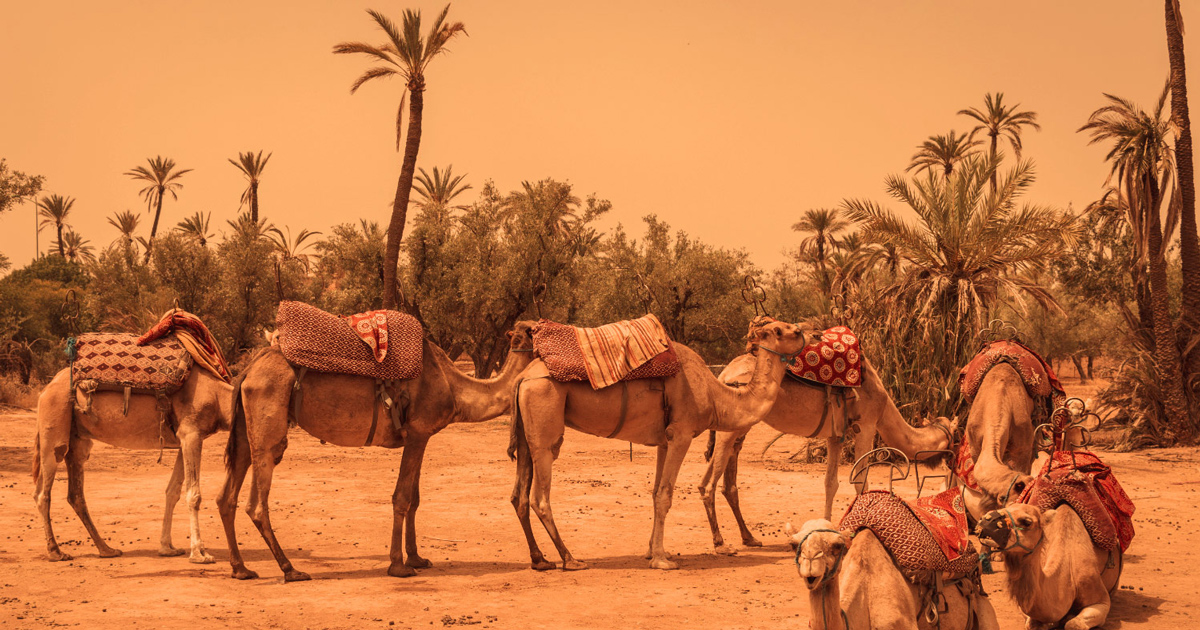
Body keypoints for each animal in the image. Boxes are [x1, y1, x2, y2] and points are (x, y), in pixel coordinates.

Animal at [33, 367, 233, 563]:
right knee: (43, 493)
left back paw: (107, 550)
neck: (217, 396)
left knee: (74, 494)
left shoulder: (184, 440)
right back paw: (56, 552)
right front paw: (200, 553)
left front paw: (167, 548)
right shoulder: (191, 433)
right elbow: (194, 495)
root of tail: (46, 389)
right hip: (54, 426)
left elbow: (172, 491)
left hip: (78, 440)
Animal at [217, 321, 537, 581]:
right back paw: (290, 569)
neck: (455, 387)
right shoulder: (419, 432)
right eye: (537, 329)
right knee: (256, 504)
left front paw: (417, 558)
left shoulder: (419, 437)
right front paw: (399, 566)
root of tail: (247, 371)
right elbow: (402, 497)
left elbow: (415, 499)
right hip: (267, 426)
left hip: (245, 430)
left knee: (225, 497)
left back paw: (241, 569)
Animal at [508, 318, 808, 571]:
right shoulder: (681, 433)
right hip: (545, 419)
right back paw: (570, 559)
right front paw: (663, 560)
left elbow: (654, 493)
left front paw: (652, 551)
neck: (714, 396)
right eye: (780, 330)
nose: (805, 331)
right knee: (540, 496)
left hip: (525, 431)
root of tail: (522, 378)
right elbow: (665, 495)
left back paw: (540, 560)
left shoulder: (664, 440)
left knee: (518, 495)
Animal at [699, 356, 954, 554]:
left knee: (718, 481)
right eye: (954, 436)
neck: (885, 408)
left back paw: (749, 538)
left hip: (739, 426)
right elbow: (861, 481)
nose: (952, 460)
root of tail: (723, 375)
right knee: (711, 484)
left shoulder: (834, 436)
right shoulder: (867, 425)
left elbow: (831, 482)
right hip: (730, 426)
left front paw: (826, 530)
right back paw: (720, 544)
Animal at [977, 504, 1120, 630]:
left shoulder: (1100, 597)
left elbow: (1073, 624)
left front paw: (1068, 617)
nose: (986, 520)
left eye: (1027, 522)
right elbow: (1033, 624)